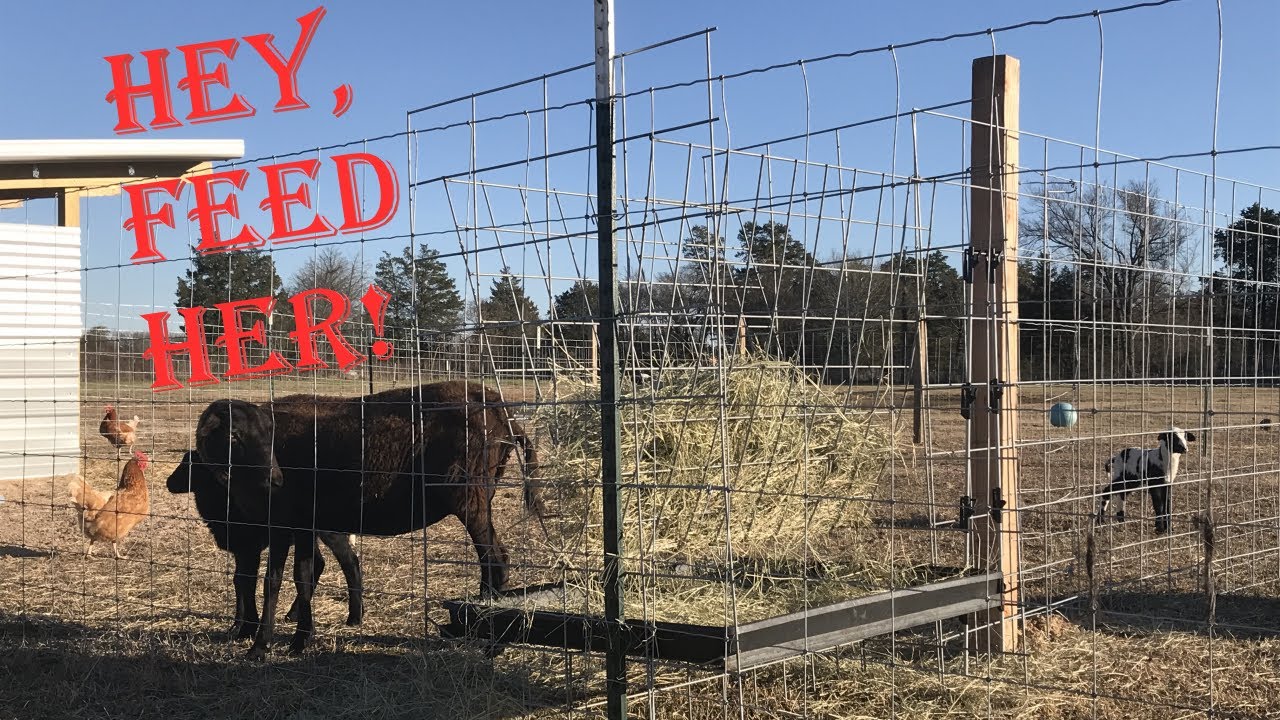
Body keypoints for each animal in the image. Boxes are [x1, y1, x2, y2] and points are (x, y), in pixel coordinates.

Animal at [165, 450, 364, 639]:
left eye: (194, 466)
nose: (169, 483)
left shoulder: (250, 548)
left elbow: (247, 581)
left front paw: (246, 628)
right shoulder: (240, 549)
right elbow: (238, 580)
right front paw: (237, 624)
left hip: (330, 531)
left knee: (350, 562)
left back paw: (355, 617)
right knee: (318, 564)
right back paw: (294, 614)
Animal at [192, 380, 544, 658]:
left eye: (269, 434)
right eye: (233, 436)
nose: (276, 478)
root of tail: (502, 411)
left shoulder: (279, 523)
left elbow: (271, 581)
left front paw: (261, 646)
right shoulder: (301, 523)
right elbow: (301, 576)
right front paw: (299, 640)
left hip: (469, 495)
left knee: (495, 559)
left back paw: (489, 639)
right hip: (482, 495)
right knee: (493, 560)